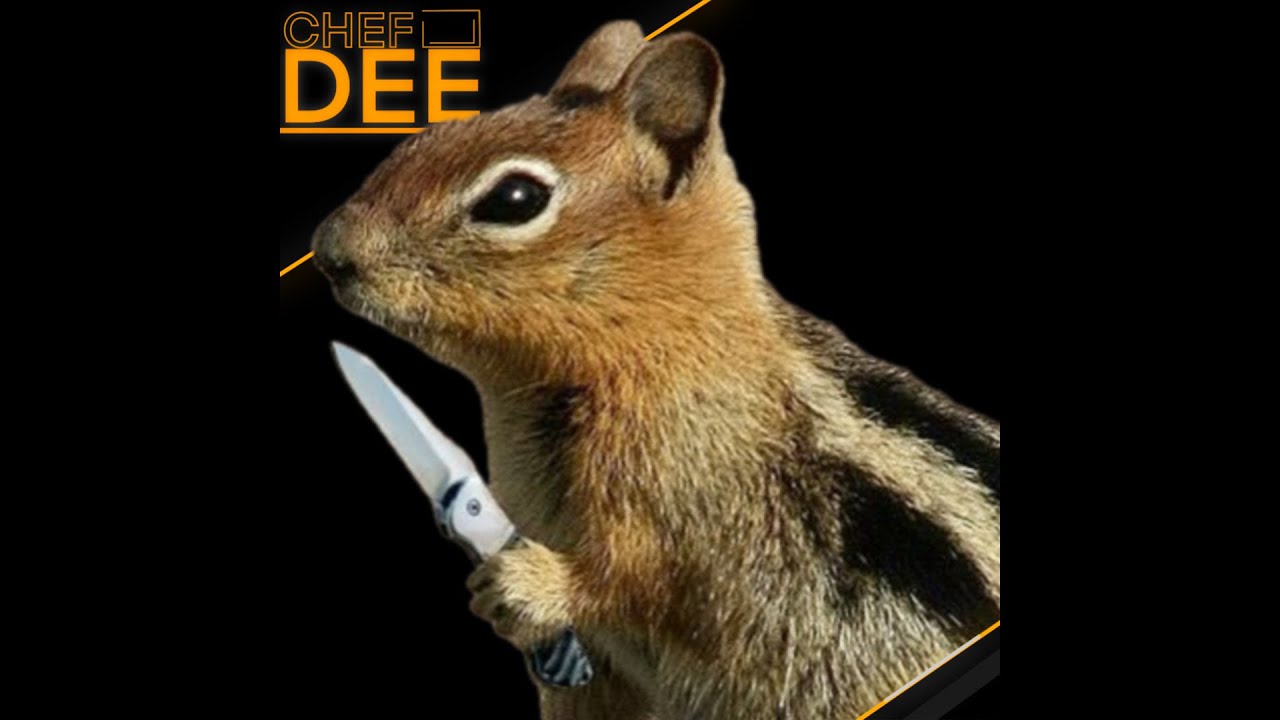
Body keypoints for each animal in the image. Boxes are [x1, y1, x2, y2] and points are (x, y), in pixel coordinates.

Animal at [312, 20, 1000, 720]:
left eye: (514, 198)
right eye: (421, 136)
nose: (328, 251)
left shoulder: (686, 489)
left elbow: (633, 572)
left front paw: (527, 583)